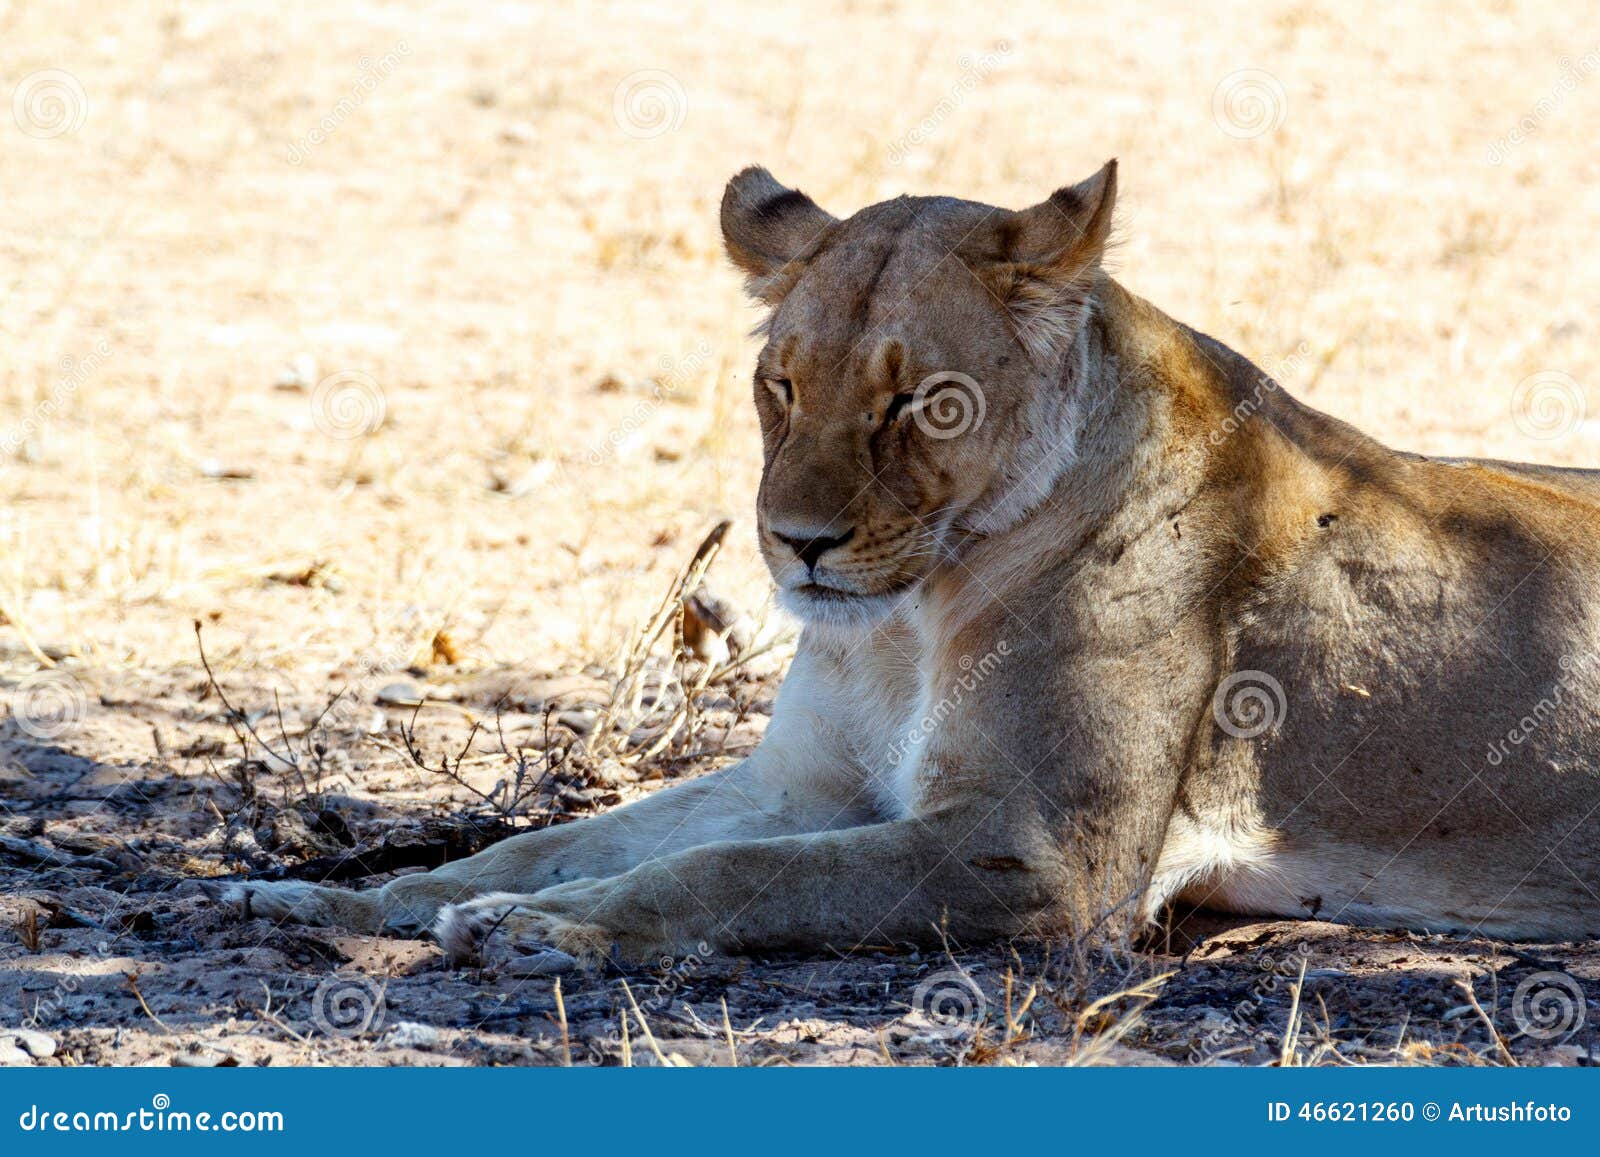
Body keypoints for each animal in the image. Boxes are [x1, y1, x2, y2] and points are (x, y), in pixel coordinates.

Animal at [220, 161, 1600, 967]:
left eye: (923, 405)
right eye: (780, 385)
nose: (796, 541)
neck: (907, 616)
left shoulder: (1042, 855)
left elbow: (740, 875)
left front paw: (548, 930)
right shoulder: (799, 782)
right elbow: (552, 841)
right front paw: (337, 903)